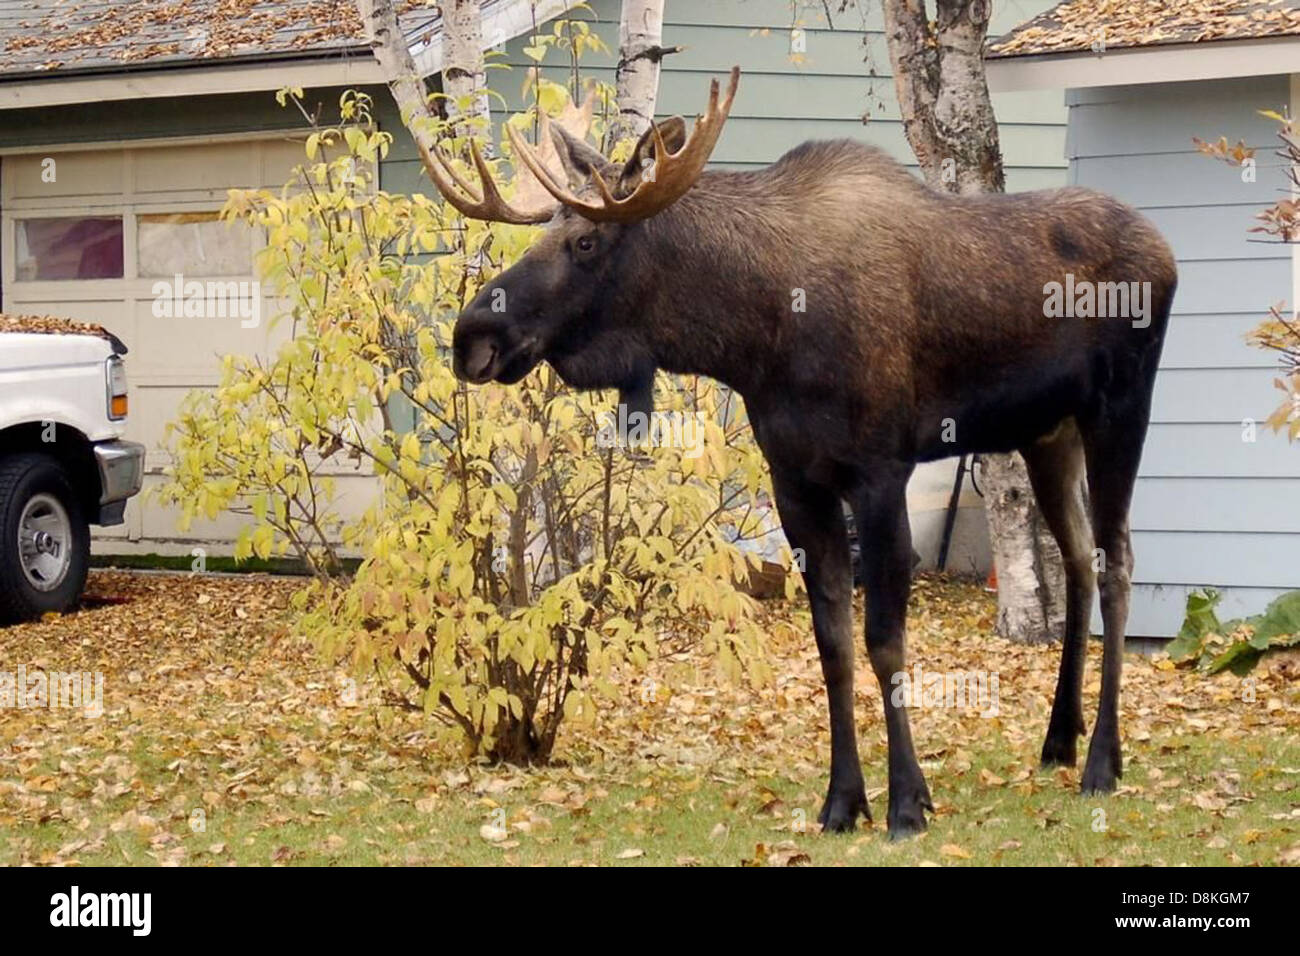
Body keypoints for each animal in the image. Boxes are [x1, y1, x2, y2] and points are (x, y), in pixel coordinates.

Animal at [418, 68, 1177, 837]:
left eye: (586, 243)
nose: (472, 335)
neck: (756, 335)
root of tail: (1166, 250)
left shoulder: (879, 472)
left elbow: (884, 640)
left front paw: (908, 801)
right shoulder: (796, 479)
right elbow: (832, 644)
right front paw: (843, 799)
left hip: (1121, 409)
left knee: (1120, 563)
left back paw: (1102, 761)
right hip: (1048, 433)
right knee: (1080, 560)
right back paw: (1059, 738)